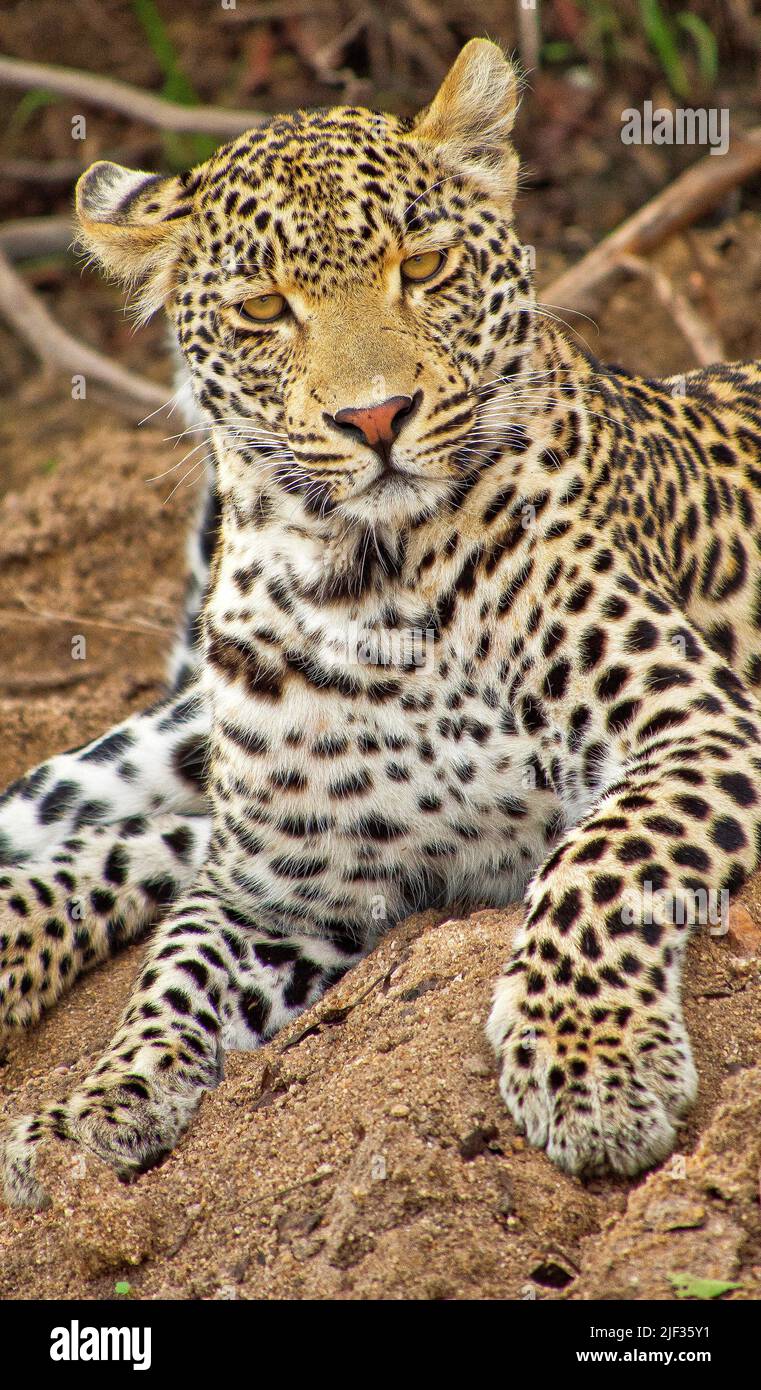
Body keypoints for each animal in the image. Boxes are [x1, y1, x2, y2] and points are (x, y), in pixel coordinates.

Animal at [3, 37, 761, 1210]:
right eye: (265, 310)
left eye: (425, 264)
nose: (375, 417)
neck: (367, 583)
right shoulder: (284, 887)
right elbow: (176, 969)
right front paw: (95, 1106)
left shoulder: (695, 727)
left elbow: (597, 863)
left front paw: (587, 1062)